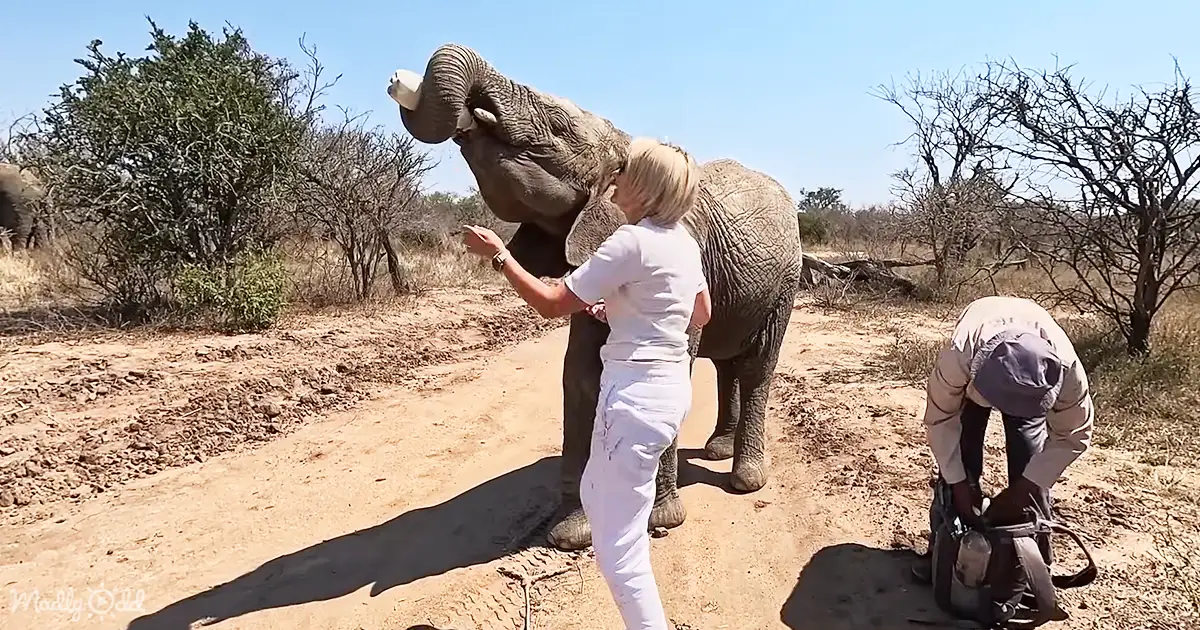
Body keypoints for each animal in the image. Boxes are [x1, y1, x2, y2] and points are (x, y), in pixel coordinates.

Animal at [388, 44, 803, 551]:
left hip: (786, 283)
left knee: (757, 364)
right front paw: (569, 535)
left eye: (557, 127)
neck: (626, 145)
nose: (397, 80)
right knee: (728, 365)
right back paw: (716, 450)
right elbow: (580, 375)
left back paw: (745, 479)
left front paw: (661, 522)